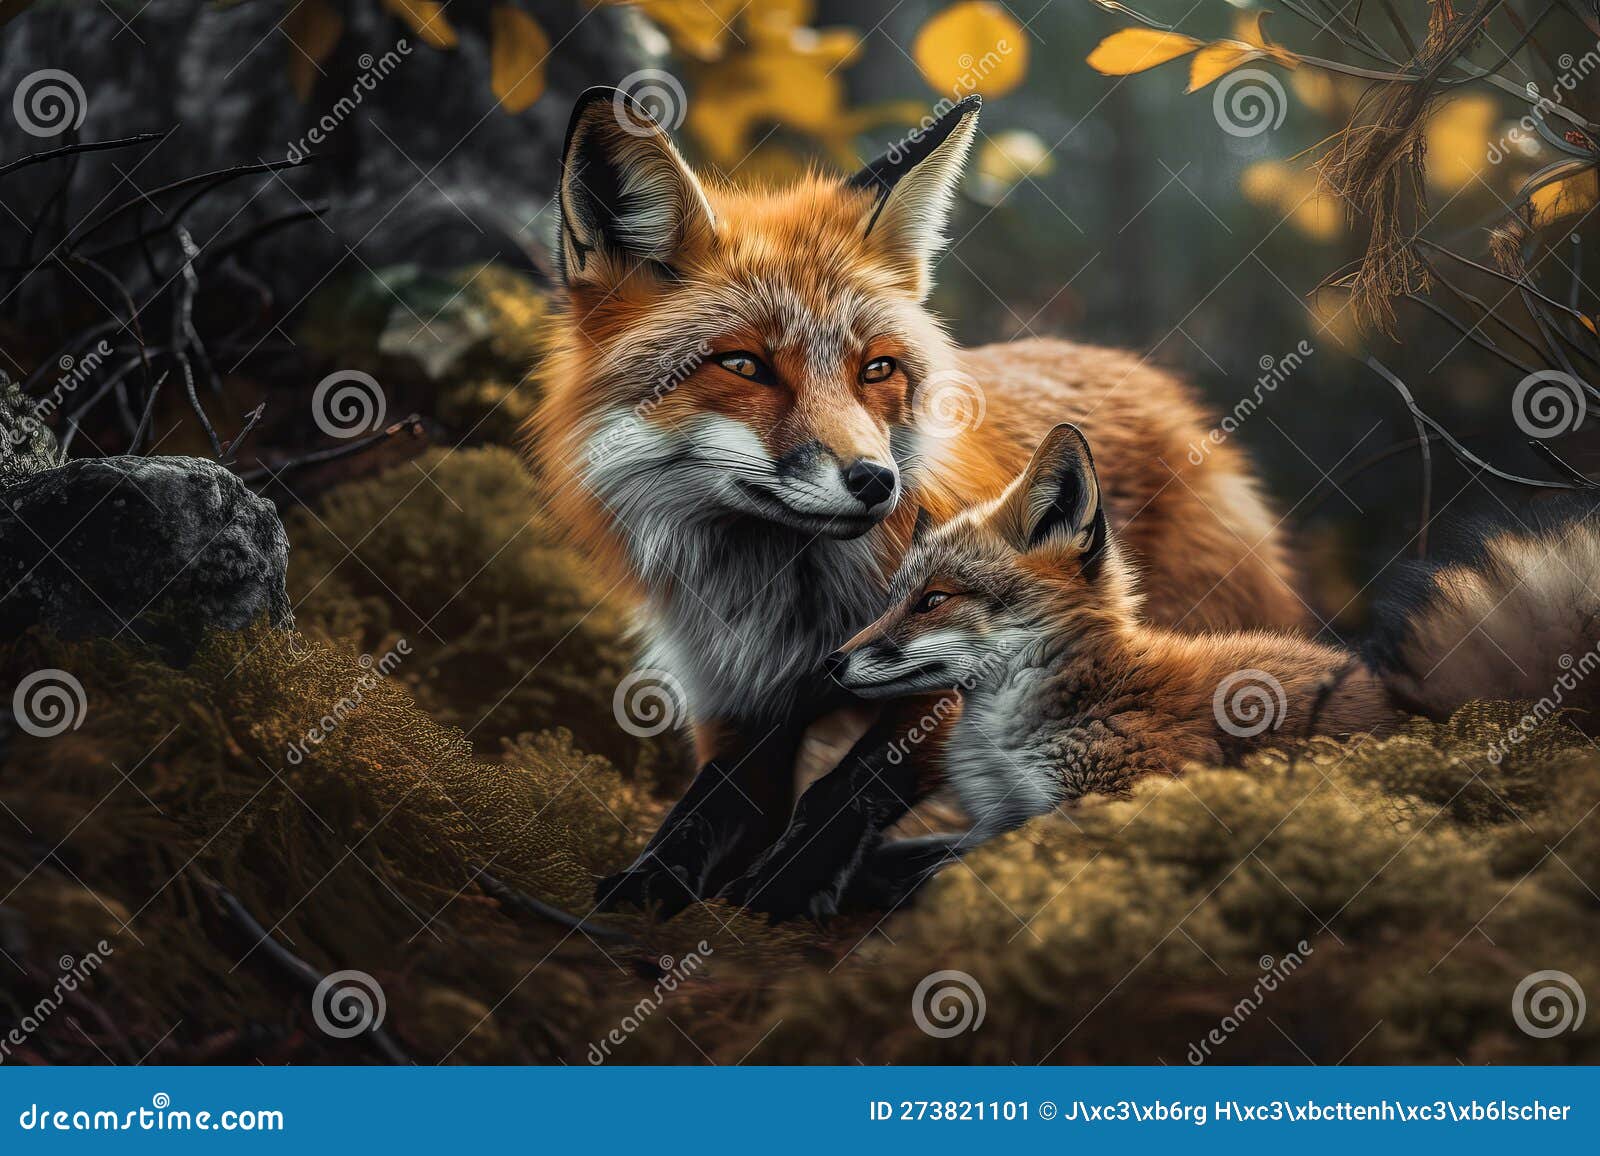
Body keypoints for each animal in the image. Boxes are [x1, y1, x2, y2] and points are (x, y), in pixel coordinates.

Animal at [531, 88, 1307, 914]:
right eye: (742, 365)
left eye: (876, 369)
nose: (876, 481)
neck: (781, 598)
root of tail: (1159, 389)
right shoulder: (737, 702)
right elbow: (707, 808)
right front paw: (652, 881)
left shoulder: (965, 683)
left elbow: (845, 789)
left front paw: (775, 889)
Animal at [821, 422, 1600, 886]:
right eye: (895, 597)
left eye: (933, 600)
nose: (831, 664)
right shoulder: (1003, 814)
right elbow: (933, 852)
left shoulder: (1118, 797)